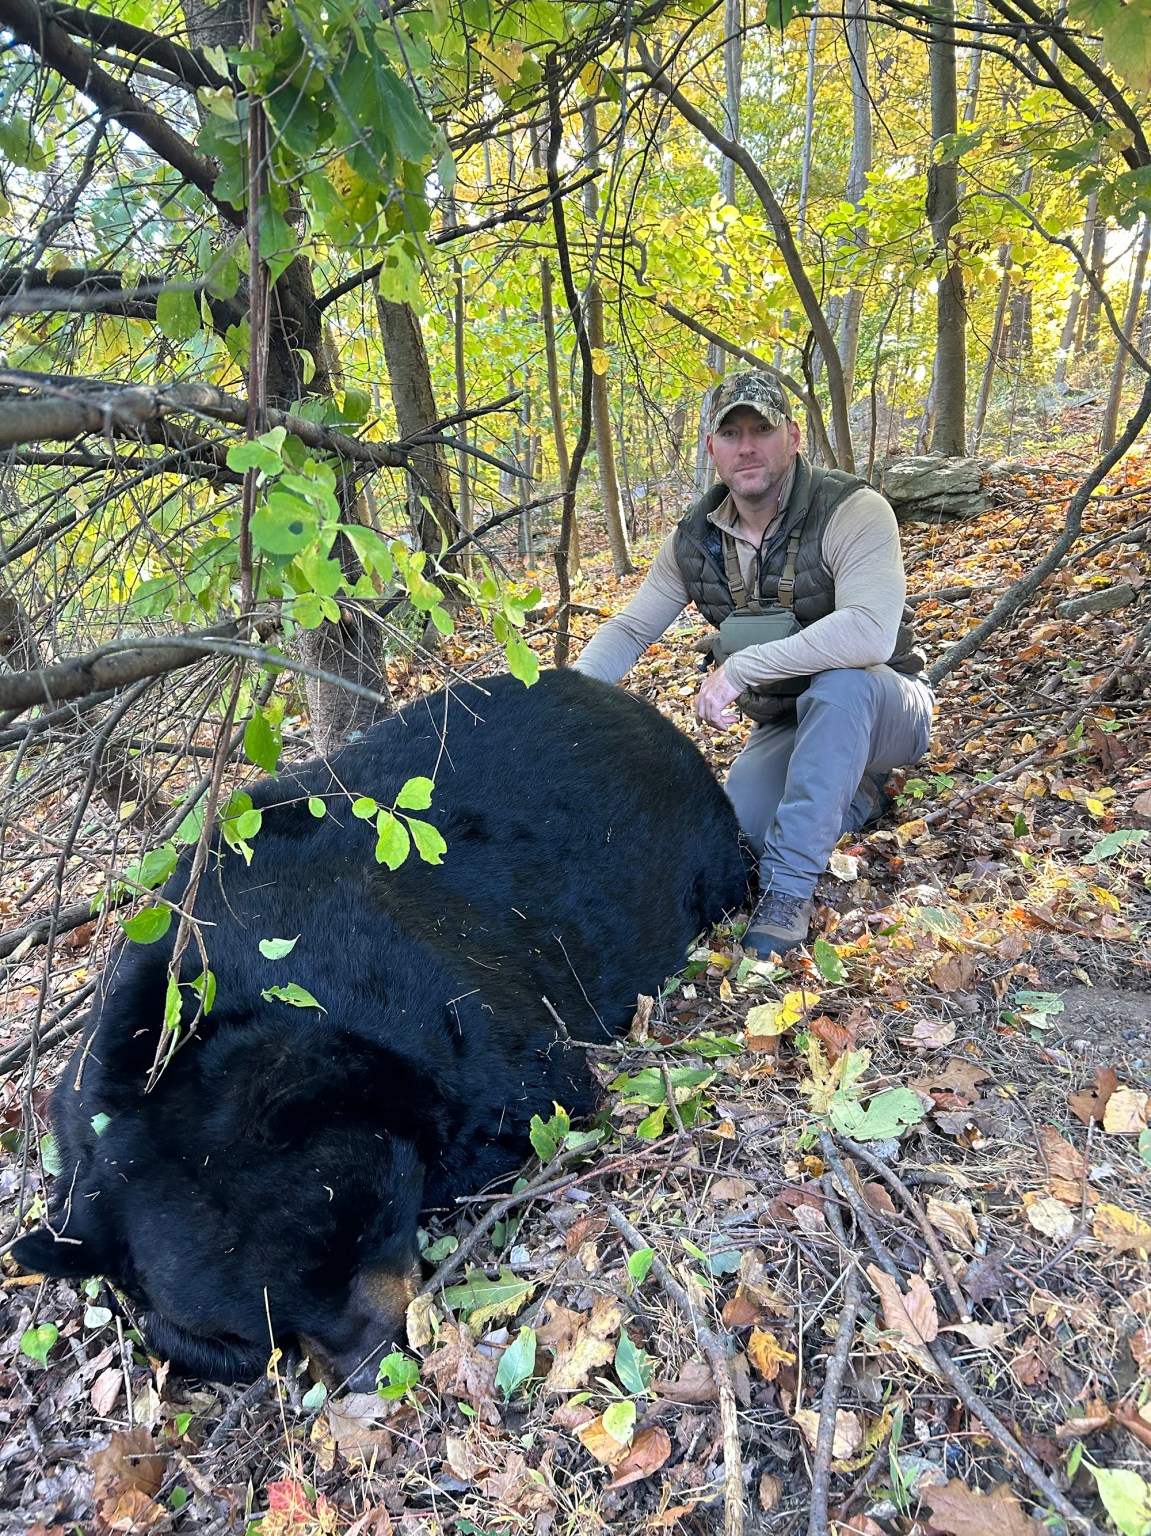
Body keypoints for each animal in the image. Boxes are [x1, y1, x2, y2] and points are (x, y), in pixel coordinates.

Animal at [12, 669, 747, 1388]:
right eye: (257, 1319)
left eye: (358, 1236)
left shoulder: (434, 1002)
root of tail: (629, 701)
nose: (375, 1370)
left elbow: (529, 1100)